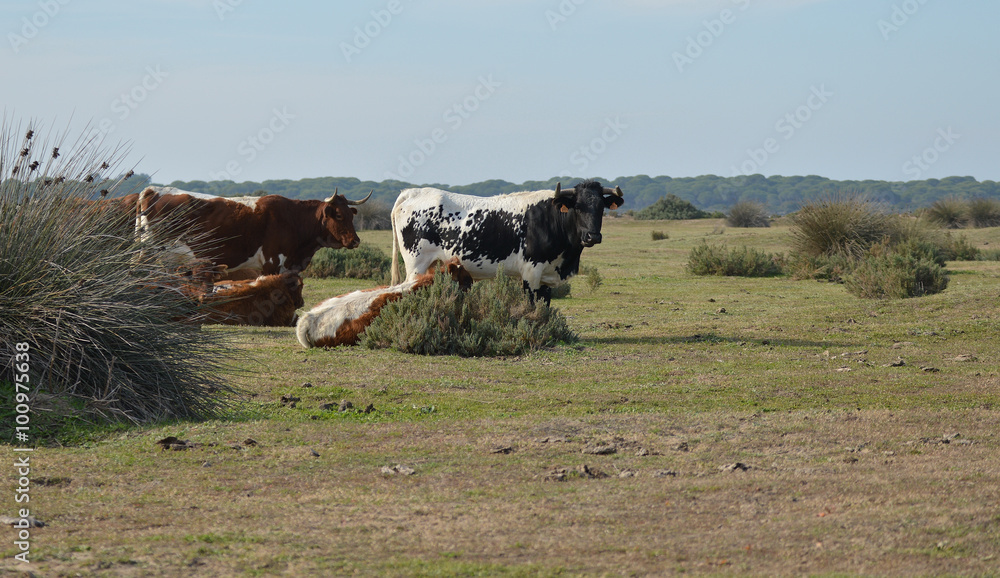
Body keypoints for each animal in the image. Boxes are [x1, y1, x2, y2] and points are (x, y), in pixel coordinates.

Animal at [135, 185, 371, 276]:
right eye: (338, 216)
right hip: (149, 252)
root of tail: (155, 190)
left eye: (351, 215)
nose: (356, 241)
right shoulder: (271, 263)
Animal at [389, 180, 623, 303]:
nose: (592, 236)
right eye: (578, 206)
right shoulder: (531, 272)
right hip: (415, 265)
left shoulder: (546, 276)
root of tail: (413, 192)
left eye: (600, 207)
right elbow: (532, 304)